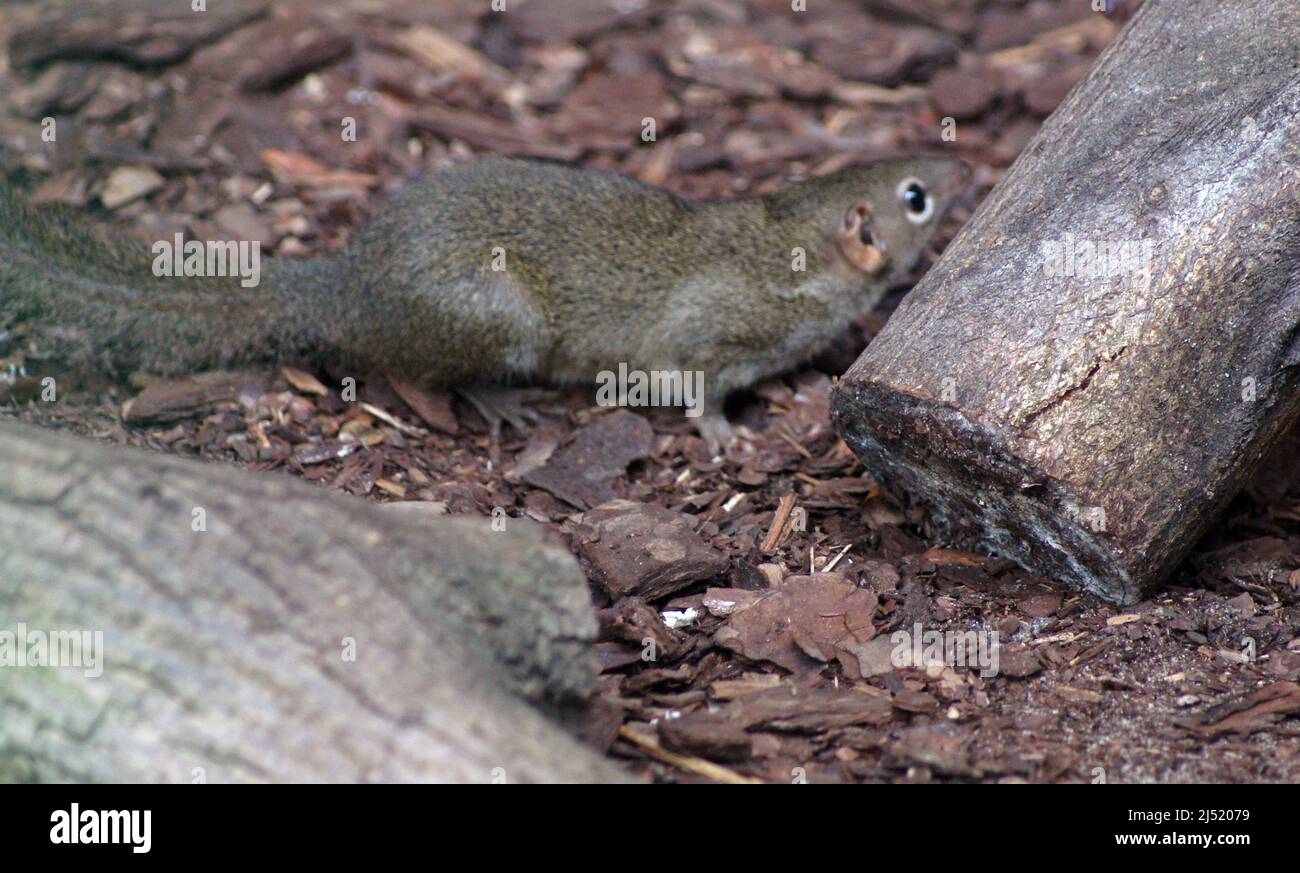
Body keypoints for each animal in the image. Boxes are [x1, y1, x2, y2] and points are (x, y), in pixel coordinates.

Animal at [0, 156, 967, 444]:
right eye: (916, 196)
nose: (961, 164)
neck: (784, 236)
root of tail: (347, 286)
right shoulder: (709, 324)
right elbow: (692, 383)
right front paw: (725, 432)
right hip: (498, 317)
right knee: (432, 374)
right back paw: (501, 402)